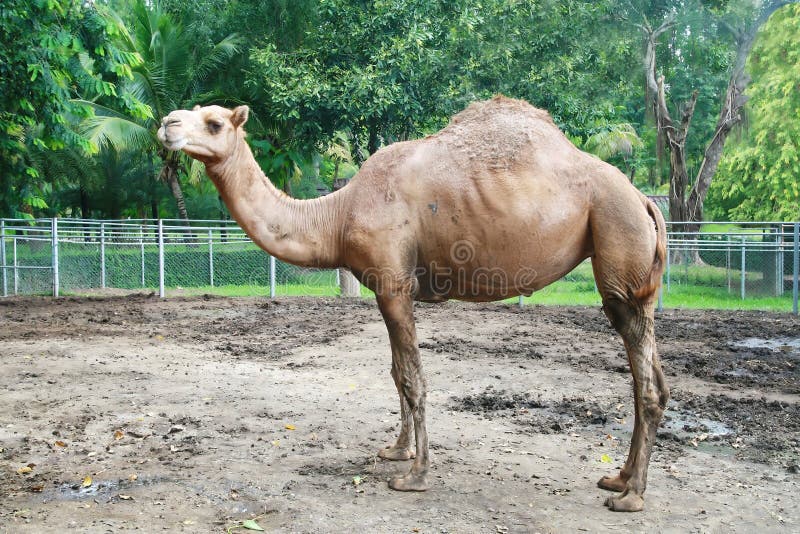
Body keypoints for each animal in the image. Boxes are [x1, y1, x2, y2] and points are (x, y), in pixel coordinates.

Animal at [158, 96, 668, 512]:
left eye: (215, 123)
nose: (165, 123)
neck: (337, 215)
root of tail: (644, 199)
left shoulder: (393, 283)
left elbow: (412, 378)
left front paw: (415, 476)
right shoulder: (389, 289)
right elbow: (395, 373)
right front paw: (396, 451)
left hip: (618, 245)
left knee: (642, 375)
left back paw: (631, 495)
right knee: (652, 379)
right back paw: (618, 477)